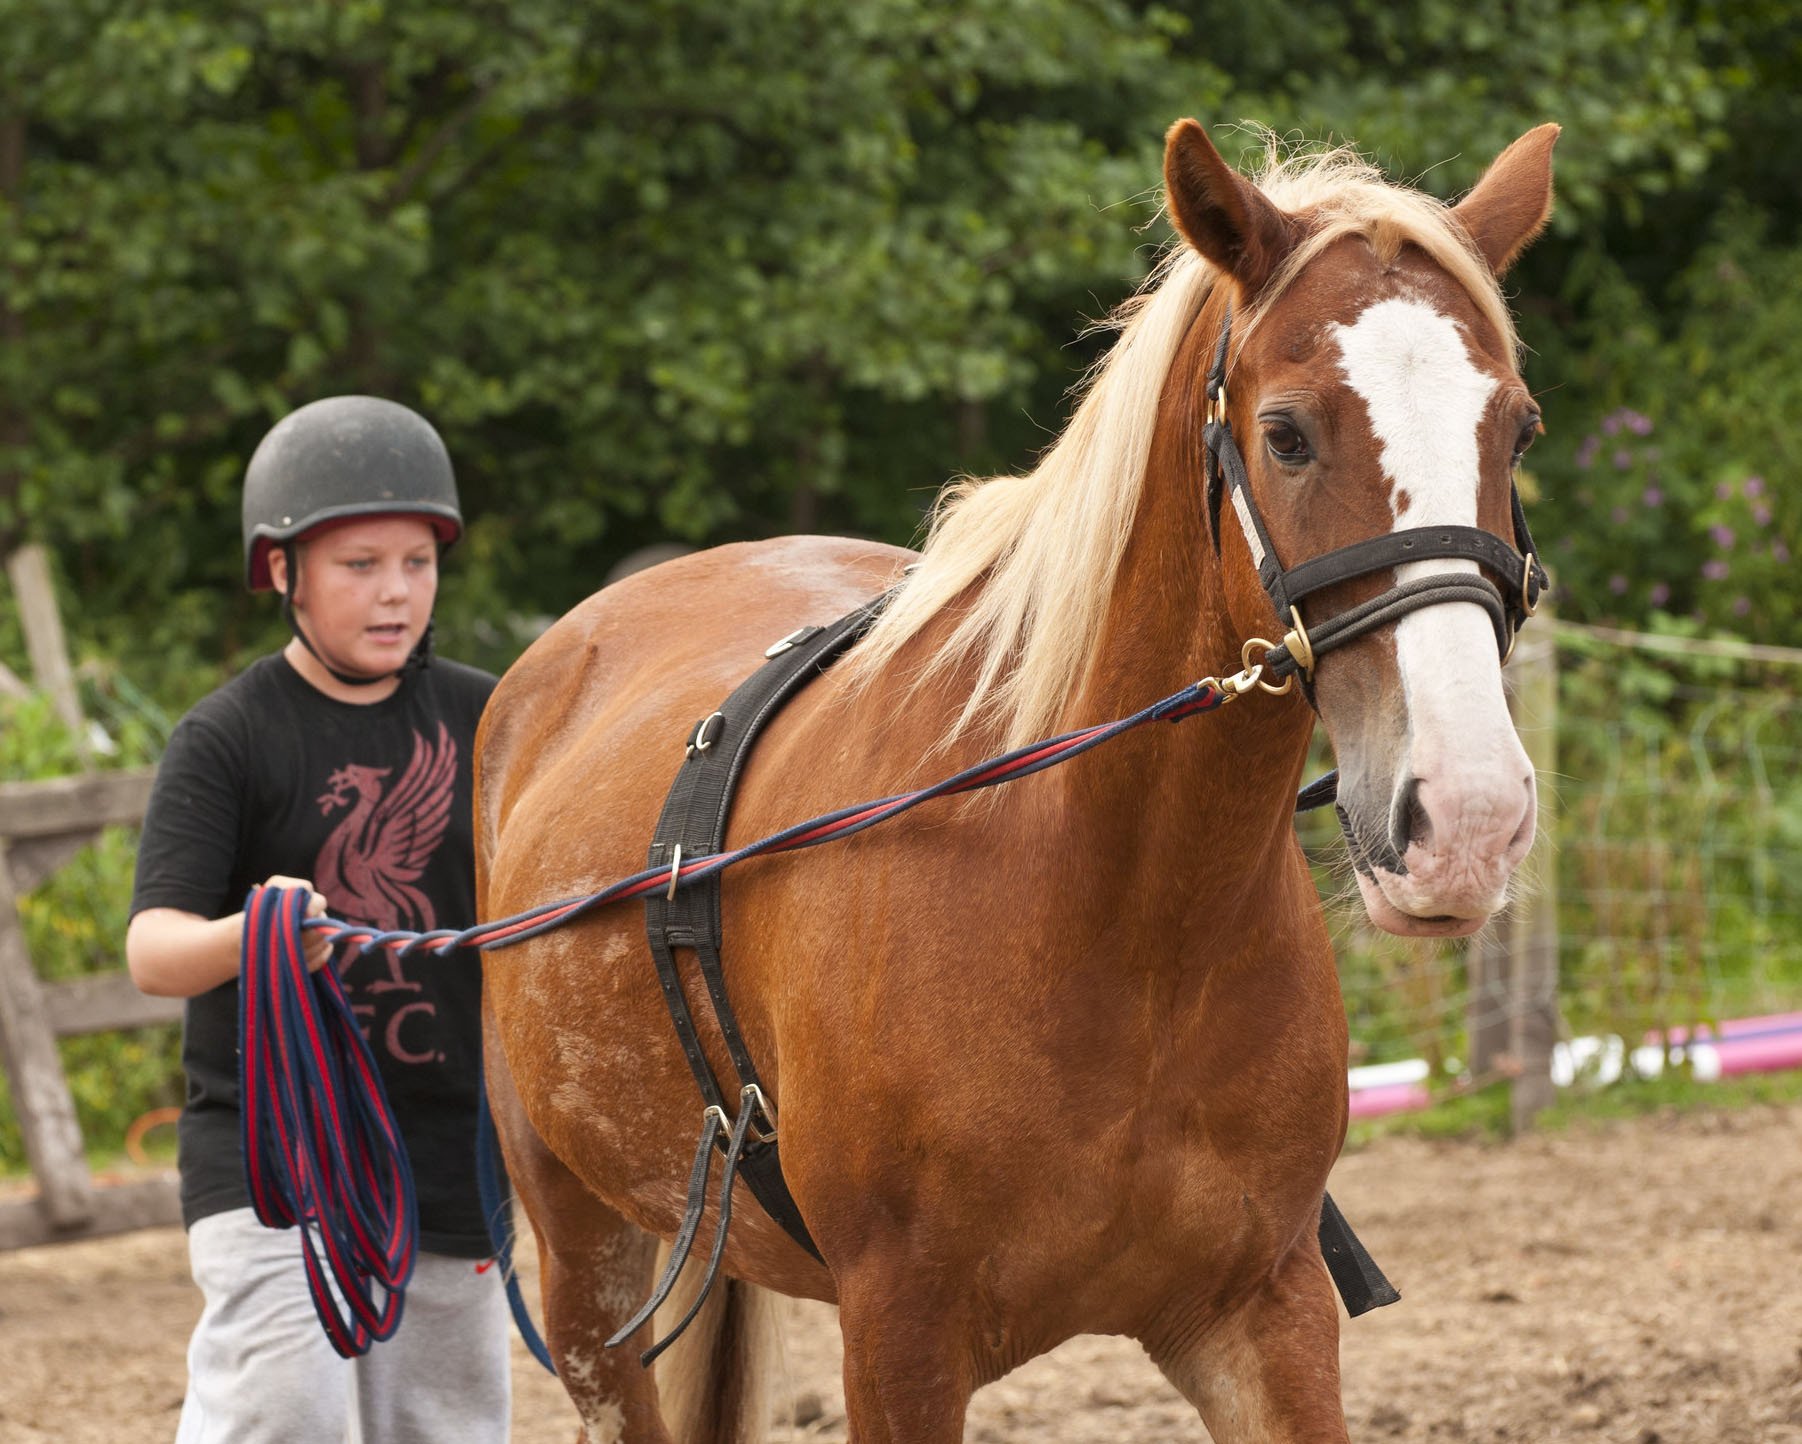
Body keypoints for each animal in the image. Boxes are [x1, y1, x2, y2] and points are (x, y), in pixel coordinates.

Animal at [474, 115, 1559, 1443]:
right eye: (1288, 433)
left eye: (1515, 430)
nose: (1465, 817)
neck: (1121, 916)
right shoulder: (898, 1339)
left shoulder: (1263, 1312)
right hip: (589, 1281)